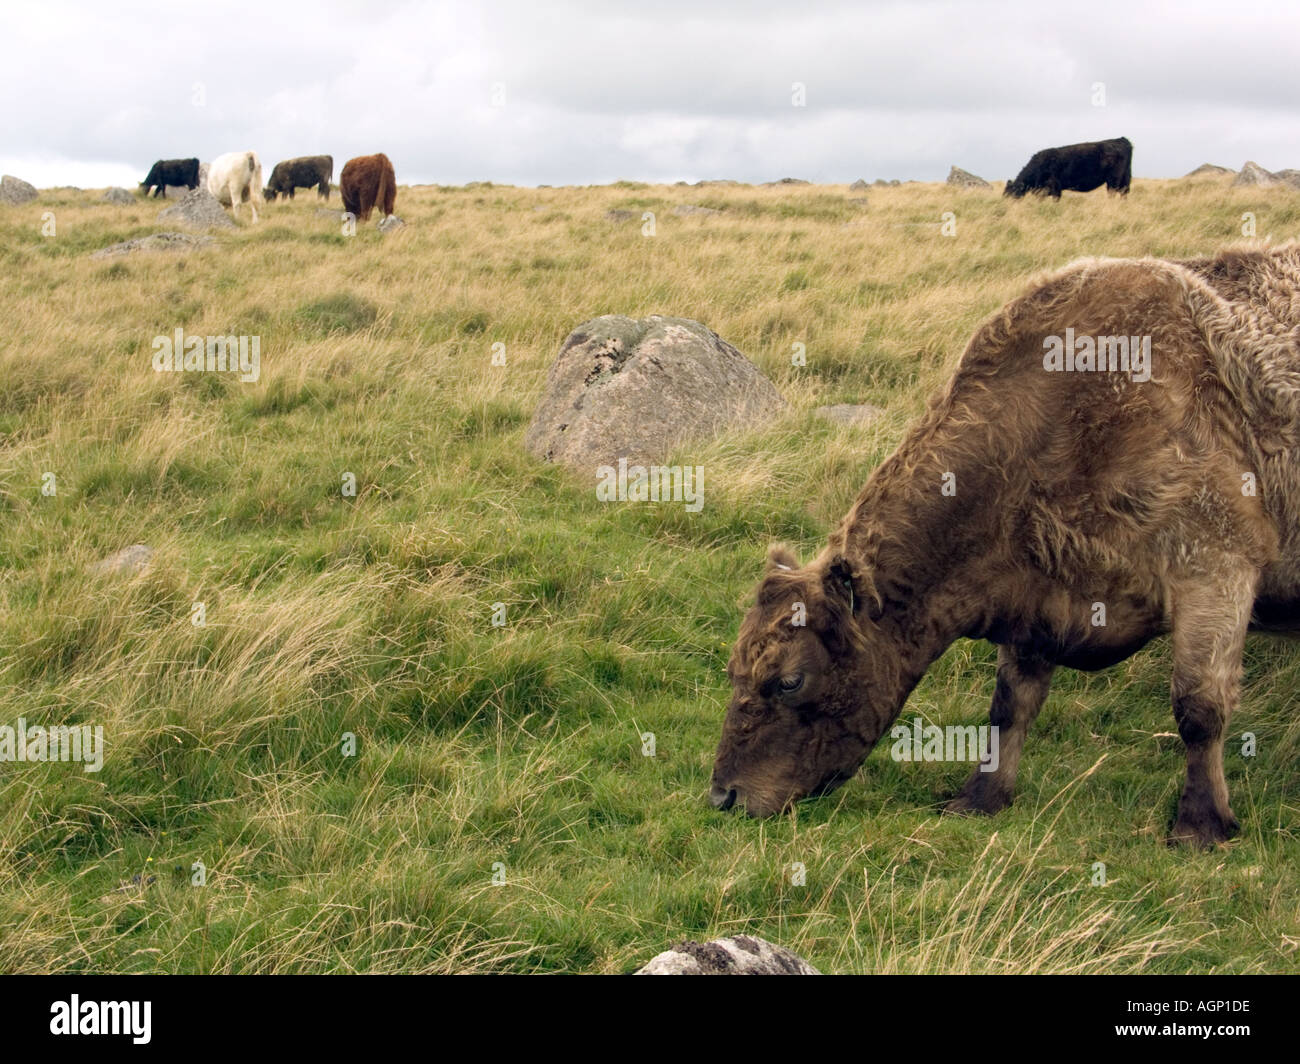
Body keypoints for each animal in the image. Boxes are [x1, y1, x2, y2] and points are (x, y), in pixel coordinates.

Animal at [711, 244, 1300, 848]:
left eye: (789, 680)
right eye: (735, 670)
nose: (723, 796)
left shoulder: (1215, 570)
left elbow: (1199, 708)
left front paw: (1201, 823)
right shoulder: (1034, 594)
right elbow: (1010, 707)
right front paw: (982, 796)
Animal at [1004, 136, 1132, 199]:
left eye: (1011, 194)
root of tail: (1121, 139)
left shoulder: (1054, 188)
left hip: (1113, 180)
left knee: (1112, 193)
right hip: (1125, 178)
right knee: (1124, 193)